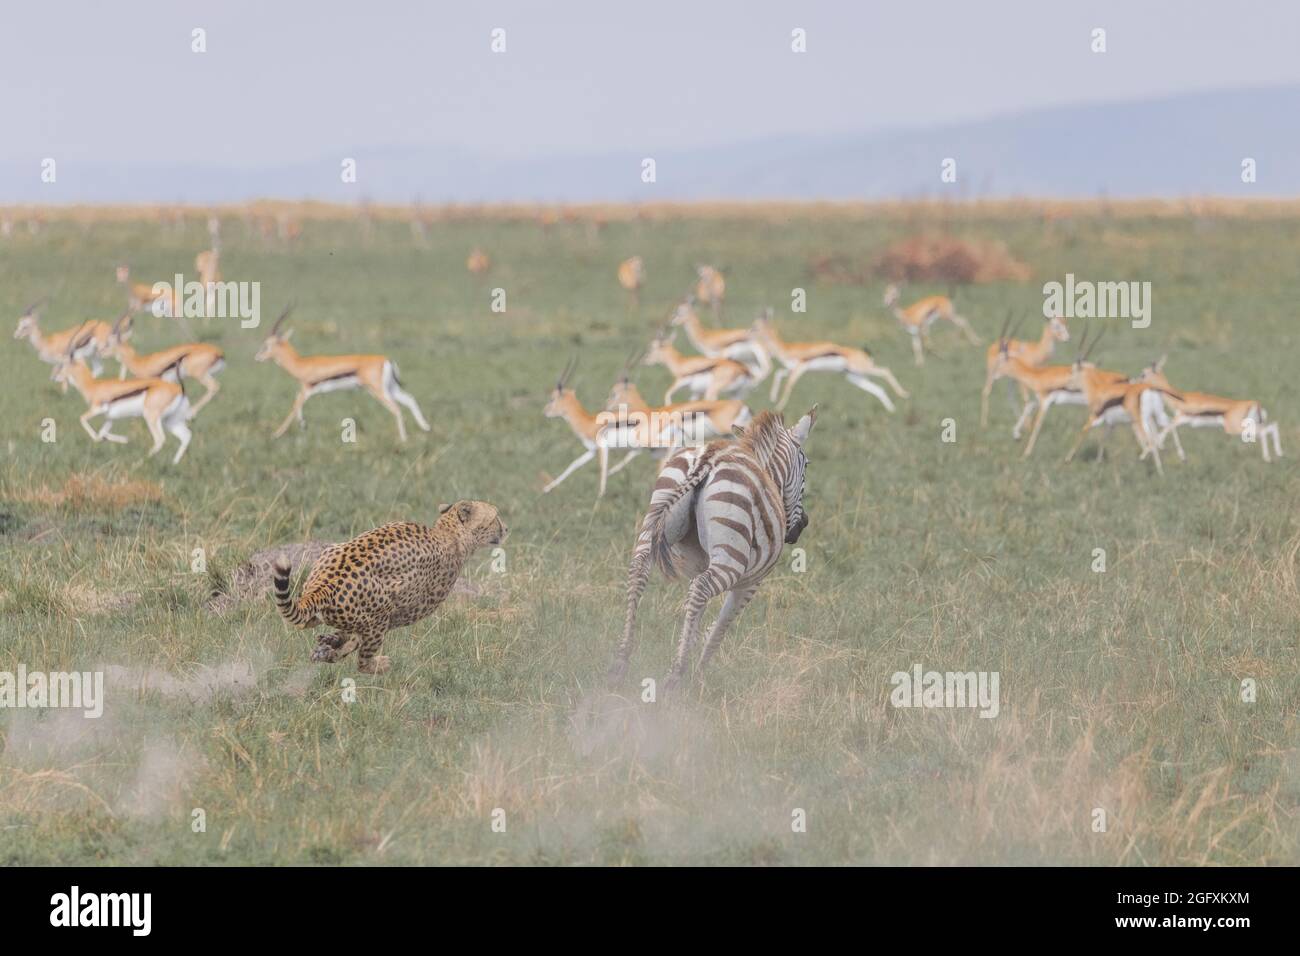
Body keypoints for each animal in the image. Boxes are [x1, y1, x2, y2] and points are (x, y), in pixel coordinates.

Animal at [271, 502, 504, 671]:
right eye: (495, 518)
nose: (507, 528)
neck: (449, 532)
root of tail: (323, 585)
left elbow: (347, 638)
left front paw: (328, 645)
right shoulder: (406, 609)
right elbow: (356, 641)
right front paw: (332, 648)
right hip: (381, 612)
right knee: (362, 662)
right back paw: (380, 664)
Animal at [605, 408, 811, 691]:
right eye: (806, 465)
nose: (802, 526)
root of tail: (708, 459)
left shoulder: (699, 567)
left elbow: (695, 614)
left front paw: (688, 651)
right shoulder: (752, 581)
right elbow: (721, 626)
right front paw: (699, 674)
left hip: (654, 516)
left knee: (639, 571)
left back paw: (622, 662)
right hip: (731, 560)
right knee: (702, 590)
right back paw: (675, 677)